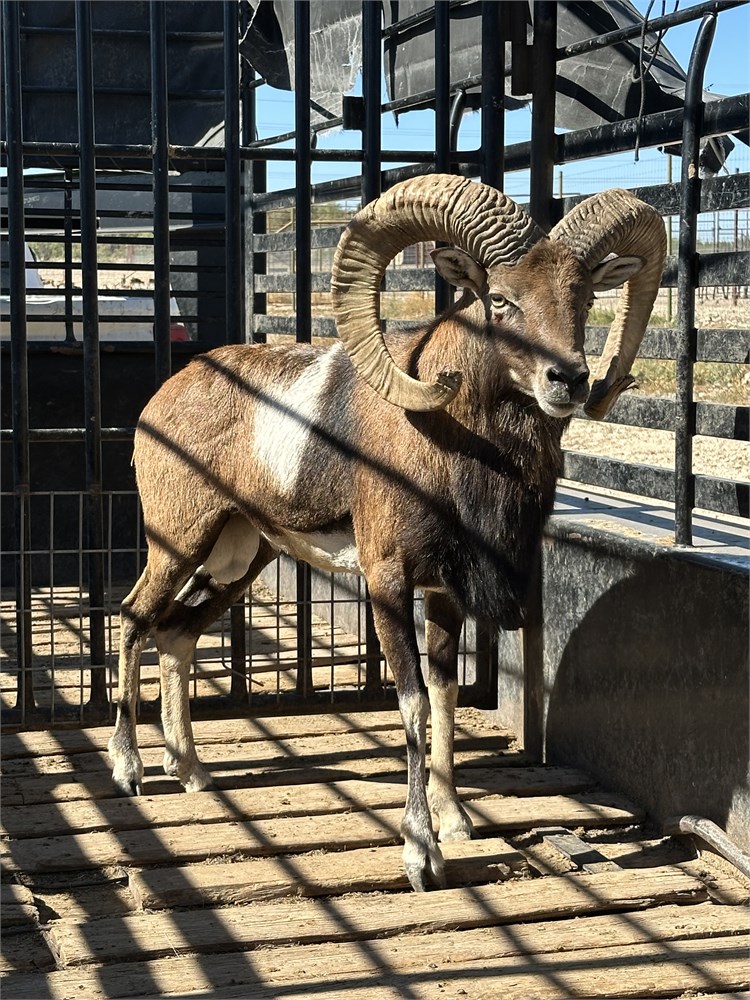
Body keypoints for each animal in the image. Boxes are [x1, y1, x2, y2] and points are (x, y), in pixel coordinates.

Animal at [108, 174, 666, 891]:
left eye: (585, 296)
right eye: (501, 299)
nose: (568, 380)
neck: (455, 448)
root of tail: (167, 395)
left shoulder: (446, 593)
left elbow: (447, 695)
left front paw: (456, 821)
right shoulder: (388, 582)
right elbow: (413, 704)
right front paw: (421, 855)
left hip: (239, 557)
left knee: (176, 633)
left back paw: (192, 773)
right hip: (178, 543)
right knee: (133, 618)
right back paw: (131, 771)